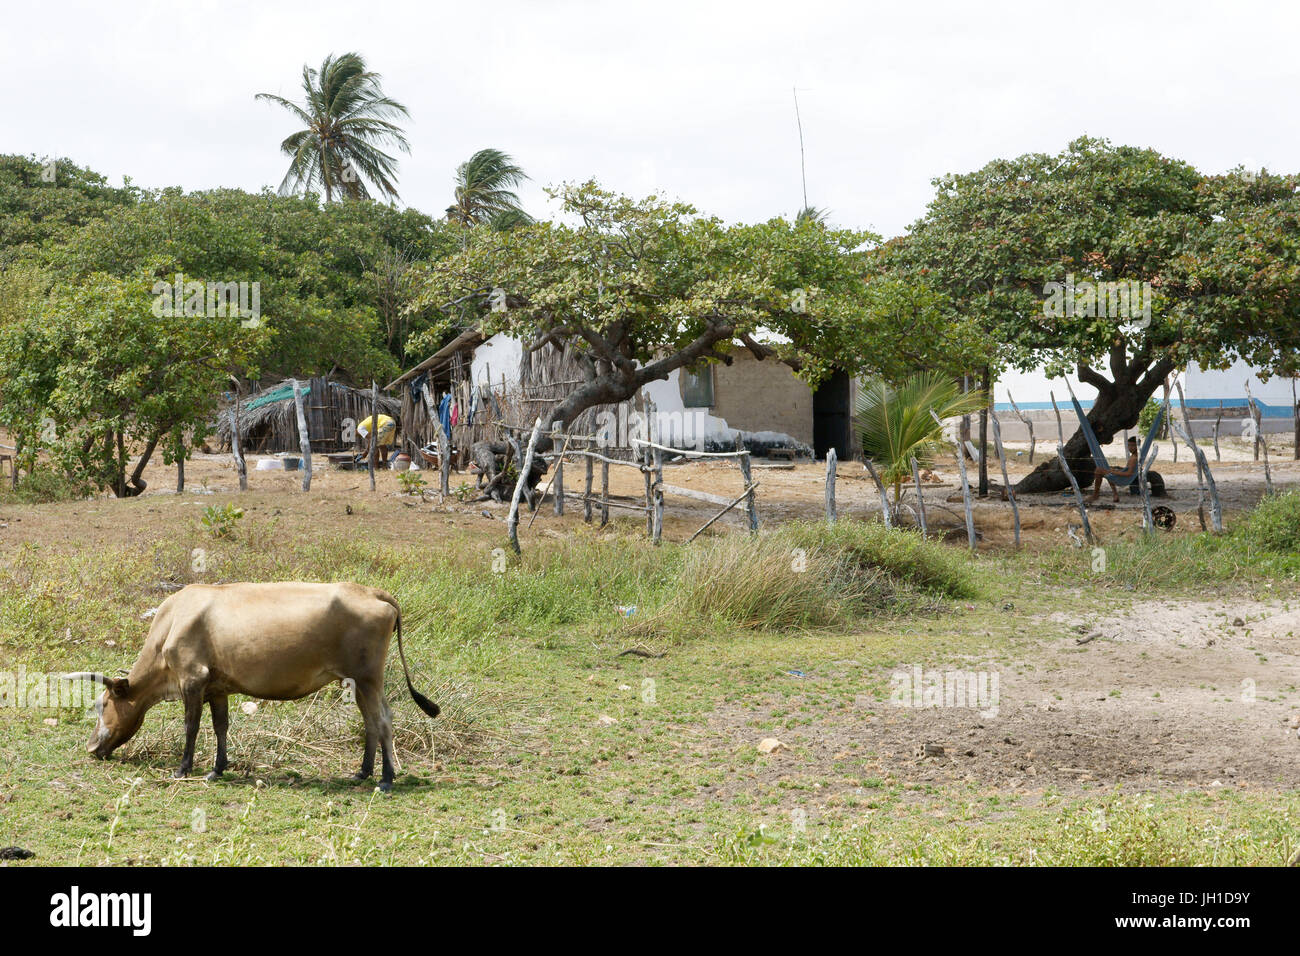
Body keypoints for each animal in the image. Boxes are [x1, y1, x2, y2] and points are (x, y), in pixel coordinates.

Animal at [65, 582, 439, 792]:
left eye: (101, 705)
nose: (91, 748)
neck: (173, 620)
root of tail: (372, 592)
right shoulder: (217, 687)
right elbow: (220, 726)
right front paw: (217, 769)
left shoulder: (192, 678)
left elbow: (191, 726)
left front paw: (183, 769)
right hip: (357, 682)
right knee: (370, 723)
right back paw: (362, 772)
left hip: (369, 678)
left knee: (383, 721)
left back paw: (386, 779)